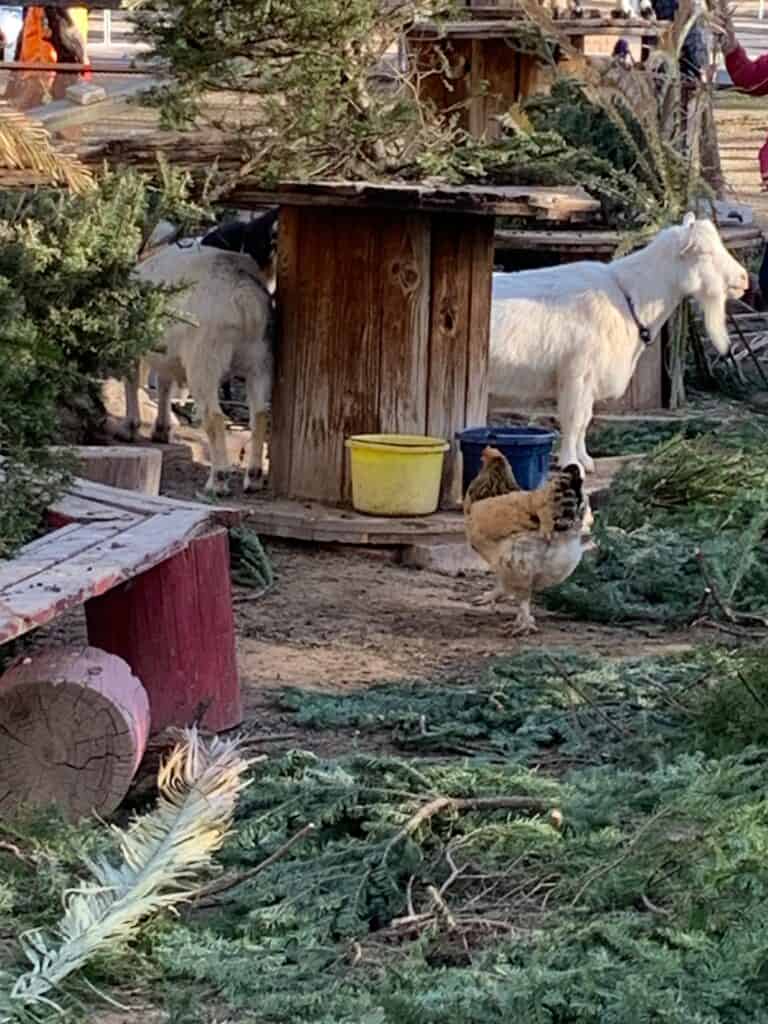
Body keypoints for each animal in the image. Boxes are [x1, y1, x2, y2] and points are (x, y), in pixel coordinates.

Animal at [123, 244, 273, 495]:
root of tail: (245, 298)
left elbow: (132, 380)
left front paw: (130, 427)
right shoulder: (168, 354)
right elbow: (164, 384)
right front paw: (161, 430)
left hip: (205, 355)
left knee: (214, 415)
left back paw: (218, 481)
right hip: (260, 358)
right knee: (260, 413)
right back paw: (253, 477)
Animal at [489, 214, 748, 473]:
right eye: (705, 252)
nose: (744, 278)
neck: (627, 298)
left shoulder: (589, 379)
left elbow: (585, 420)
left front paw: (586, 460)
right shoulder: (576, 373)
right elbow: (573, 420)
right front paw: (571, 463)